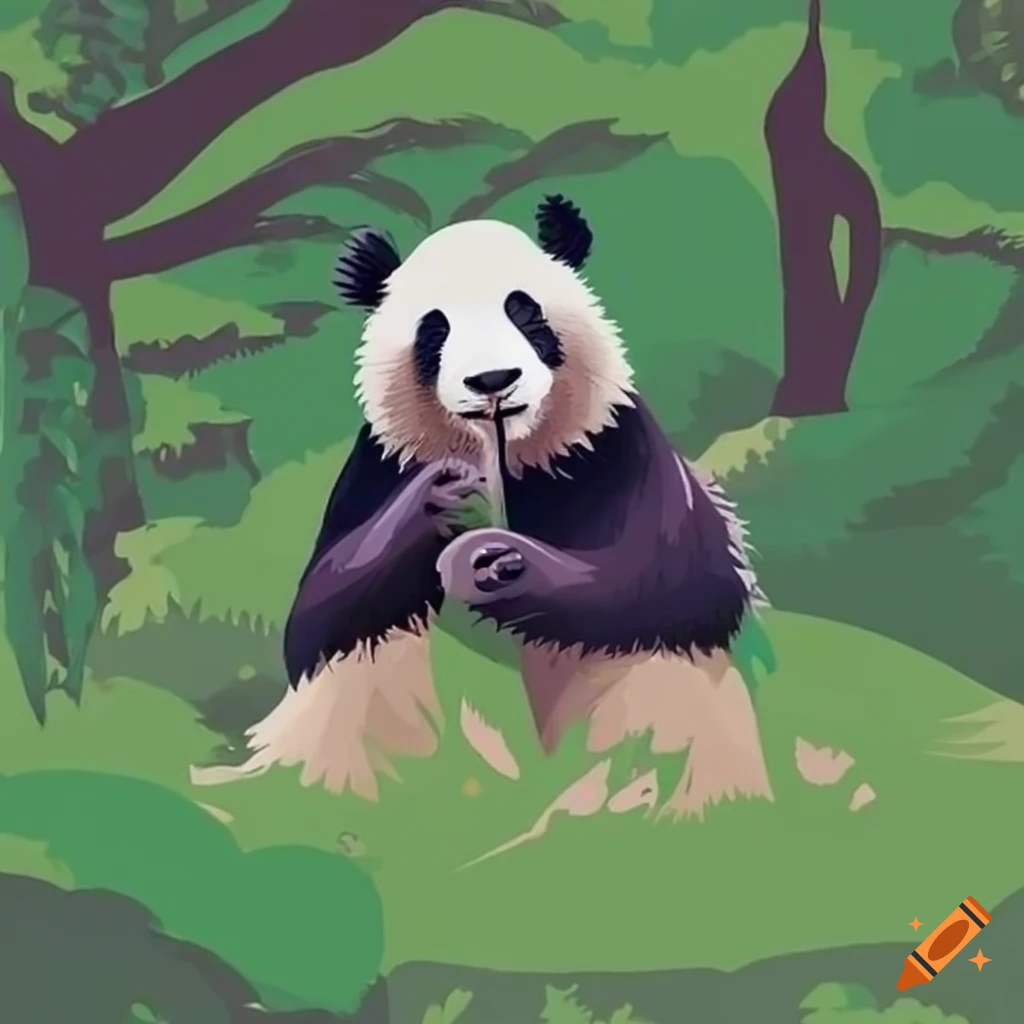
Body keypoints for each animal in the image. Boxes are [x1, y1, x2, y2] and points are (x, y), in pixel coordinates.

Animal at [207, 196, 774, 819]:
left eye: (524, 312)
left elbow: (681, 580)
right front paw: (440, 502)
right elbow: (318, 614)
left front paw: (500, 564)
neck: (502, 454)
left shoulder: (615, 443)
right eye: (434, 330)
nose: (493, 380)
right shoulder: (380, 462)